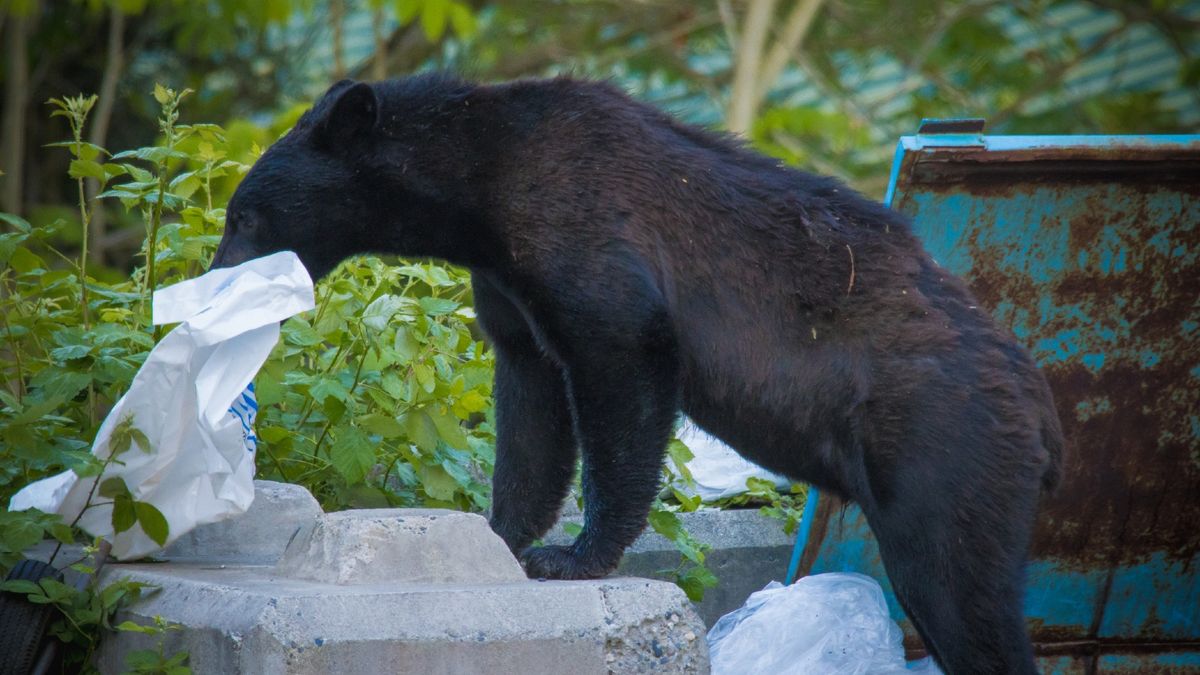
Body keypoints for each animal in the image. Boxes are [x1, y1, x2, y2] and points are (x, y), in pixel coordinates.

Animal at [212, 74, 1064, 674]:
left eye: (243, 213)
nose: (215, 278)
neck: (482, 184)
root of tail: (1043, 408)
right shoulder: (510, 288)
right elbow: (531, 407)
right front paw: (501, 533)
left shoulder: (586, 234)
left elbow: (621, 370)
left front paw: (574, 555)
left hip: (941, 451)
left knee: (959, 588)